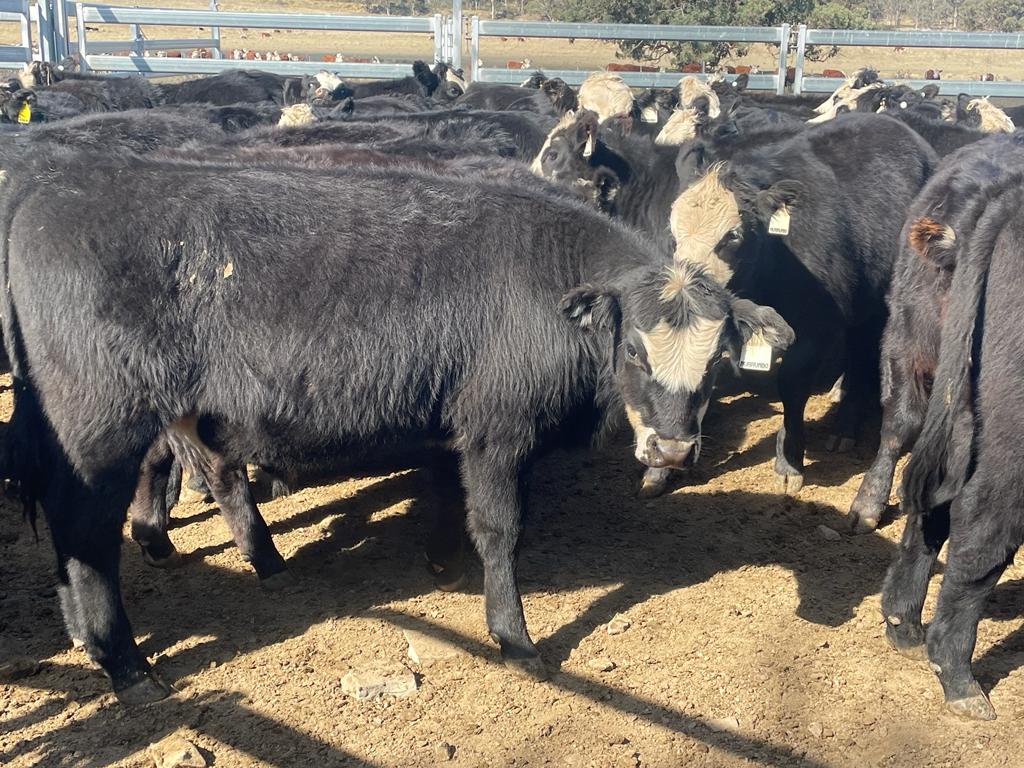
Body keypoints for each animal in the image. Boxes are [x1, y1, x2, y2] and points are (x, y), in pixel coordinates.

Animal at [0, 147, 790, 703]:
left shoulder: (448, 428)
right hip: (98, 434)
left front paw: (441, 561)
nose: (674, 448)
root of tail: (52, 187)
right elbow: (501, 530)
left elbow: (444, 500)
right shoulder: (497, 432)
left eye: (720, 358)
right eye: (633, 349)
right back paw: (125, 663)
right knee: (86, 535)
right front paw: (514, 637)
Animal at [667, 114, 937, 493]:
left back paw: (846, 425)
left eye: (731, 237)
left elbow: (792, 385)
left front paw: (789, 459)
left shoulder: (815, 327)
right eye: (673, 232)